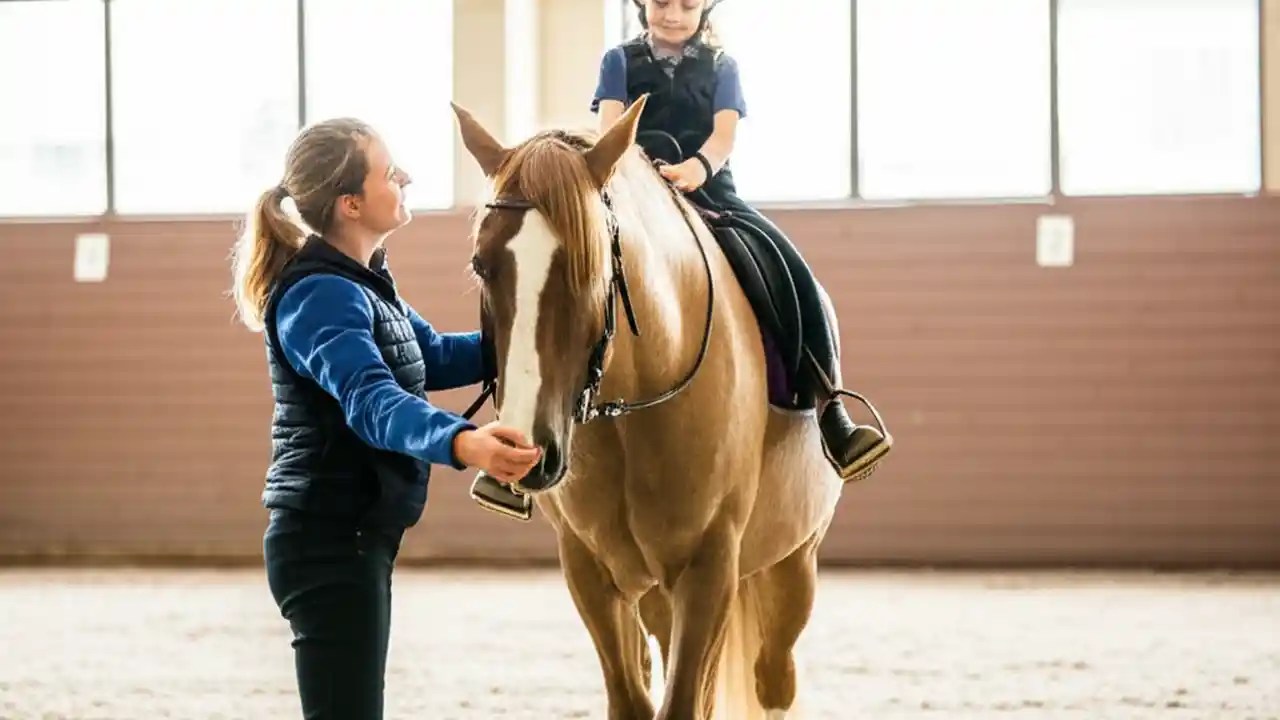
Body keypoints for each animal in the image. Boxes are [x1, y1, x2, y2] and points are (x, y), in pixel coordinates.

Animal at [451, 95, 853, 719]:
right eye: (480, 264)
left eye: (592, 266)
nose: (526, 450)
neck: (634, 411)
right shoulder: (590, 573)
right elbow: (633, 699)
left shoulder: (709, 570)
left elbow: (684, 702)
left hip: (792, 566)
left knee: (774, 678)